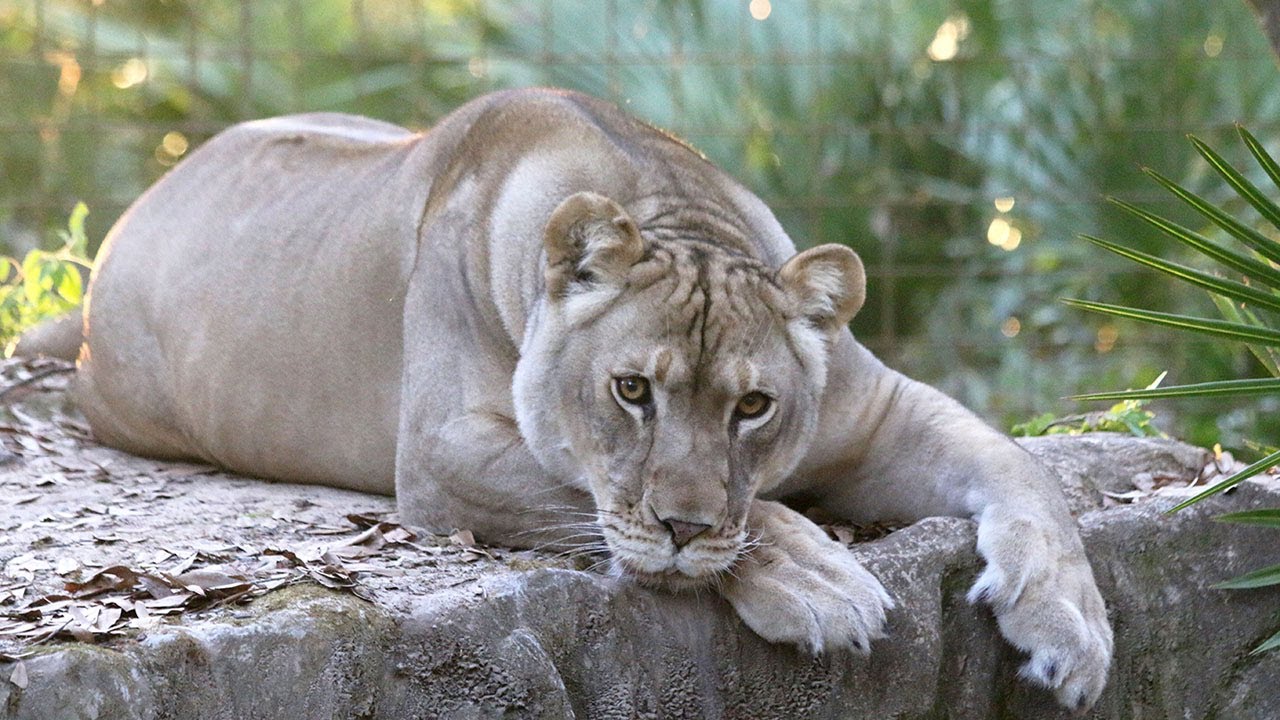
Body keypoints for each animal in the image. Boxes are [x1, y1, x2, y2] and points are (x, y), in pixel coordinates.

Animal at [24, 88, 1111, 710]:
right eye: (631, 390)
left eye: (754, 408)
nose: (683, 528)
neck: (677, 206)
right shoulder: (444, 456)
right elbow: (645, 503)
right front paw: (818, 581)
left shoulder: (878, 410)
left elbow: (1026, 471)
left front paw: (1072, 626)